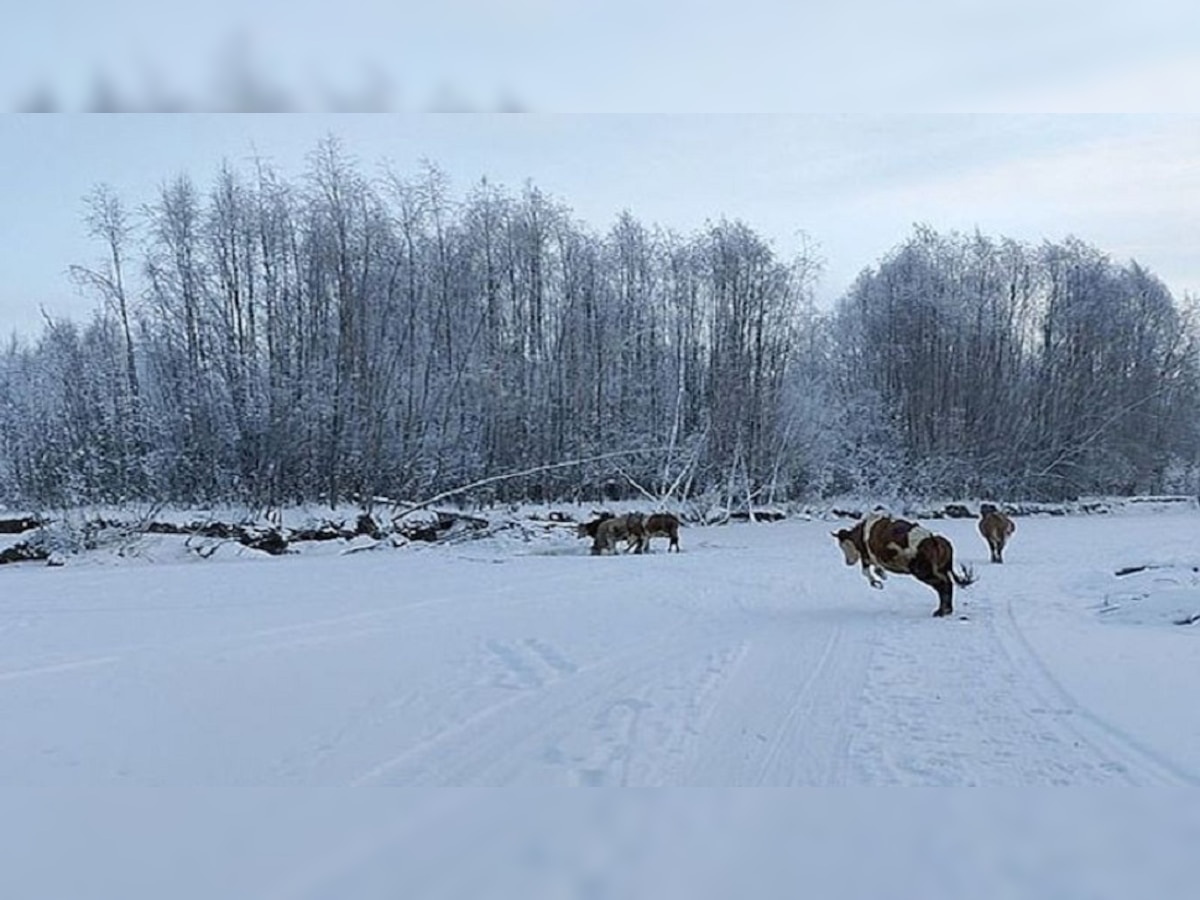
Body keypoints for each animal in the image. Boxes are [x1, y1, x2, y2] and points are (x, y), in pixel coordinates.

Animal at [832, 513, 976, 617]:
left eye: (842, 545)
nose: (848, 562)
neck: (863, 532)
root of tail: (933, 539)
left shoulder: (867, 555)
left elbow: (867, 570)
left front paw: (878, 580)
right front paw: (878, 578)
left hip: (922, 571)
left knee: (942, 585)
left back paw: (941, 611)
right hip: (939, 569)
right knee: (947, 584)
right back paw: (946, 610)